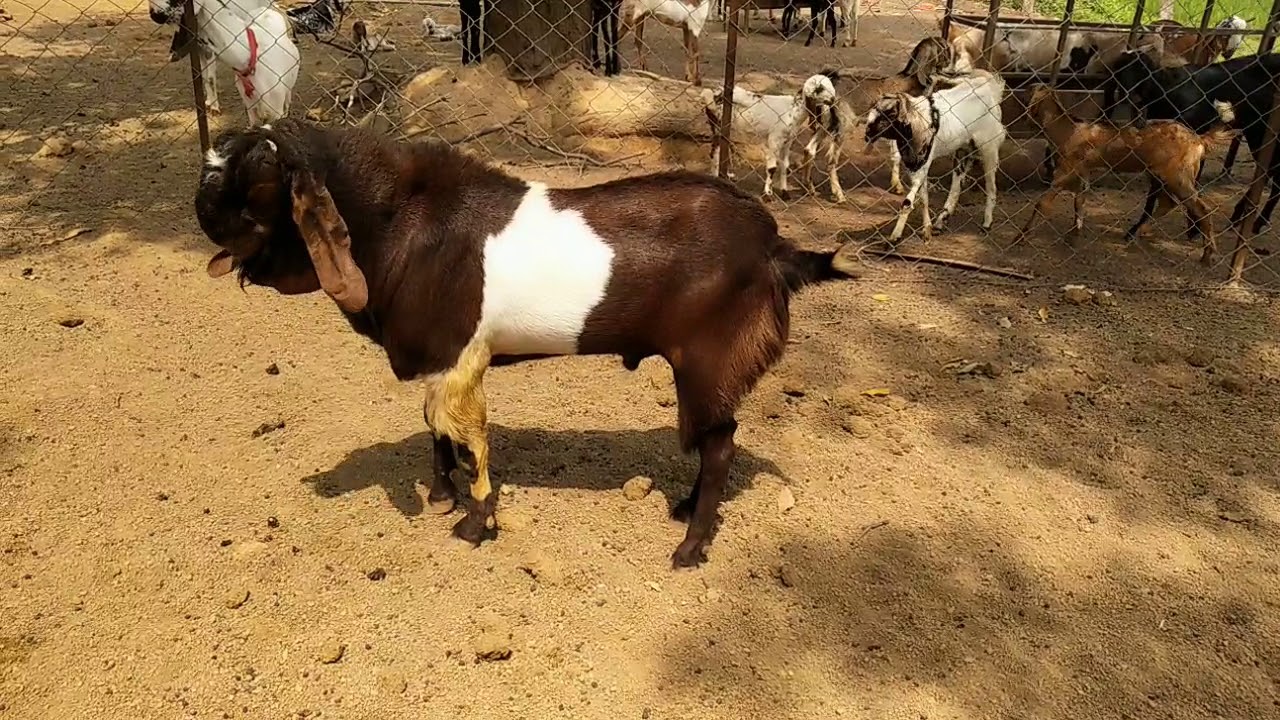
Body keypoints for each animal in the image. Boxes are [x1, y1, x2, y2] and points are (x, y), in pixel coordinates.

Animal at [192, 118, 858, 569]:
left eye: (260, 178)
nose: (200, 207)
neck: (399, 222)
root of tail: (775, 248)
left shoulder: (461, 355)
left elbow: (470, 434)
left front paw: (474, 524)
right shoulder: (441, 359)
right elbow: (435, 426)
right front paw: (443, 494)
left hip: (707, 364)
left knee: (717, 446)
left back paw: (690, 545)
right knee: (716, 439)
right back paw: (683, 510)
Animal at [702, 72, 850, 202]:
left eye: (831, 84)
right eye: (819, 88)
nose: (833, 99)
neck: (793, 111)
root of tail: (713, 94)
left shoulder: (787, 141)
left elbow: (785, 164)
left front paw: (785, 193)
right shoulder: (774, 139)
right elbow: (772, 167)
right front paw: (768, 195)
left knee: (717, 150)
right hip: (719, 126)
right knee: (715, 152)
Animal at [864, 69, 1006, 243]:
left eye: (890, 113)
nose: (867, 134)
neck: (917, 120)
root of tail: (992, 88)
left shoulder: (922, 164)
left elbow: (908, 201)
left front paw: (896, 235)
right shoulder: (915, 165)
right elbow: (923, 198)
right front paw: (927, 229)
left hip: (989, 149)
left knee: (991, 187)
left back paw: (987, 223)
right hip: (963, 151)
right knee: (956, 187)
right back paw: (941, 221)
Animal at [1014, 85, 1236, 263]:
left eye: (1029, 90)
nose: (1017, 92)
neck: (1067, 129)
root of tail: (1198, 139)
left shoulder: (1065, 171)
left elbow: (1042, 203)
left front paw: (1021, 237)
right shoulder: (1083, 173)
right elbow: (1079, 202)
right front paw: (1073, 235)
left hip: (1178, 176)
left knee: (1202, 209)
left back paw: (1208, 255)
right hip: (1161, 176)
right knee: (1168, 203)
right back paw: (1138, 232)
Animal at [1105, 50, 1280, 233]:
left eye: (1142, 70)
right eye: (1119, 70)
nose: (1125, 95)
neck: (1169, 93)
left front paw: (1194, 227)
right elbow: (1154, 189)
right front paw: (1137, 227)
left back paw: (1249, 219)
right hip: (1257, 134)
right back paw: (1247, 219)